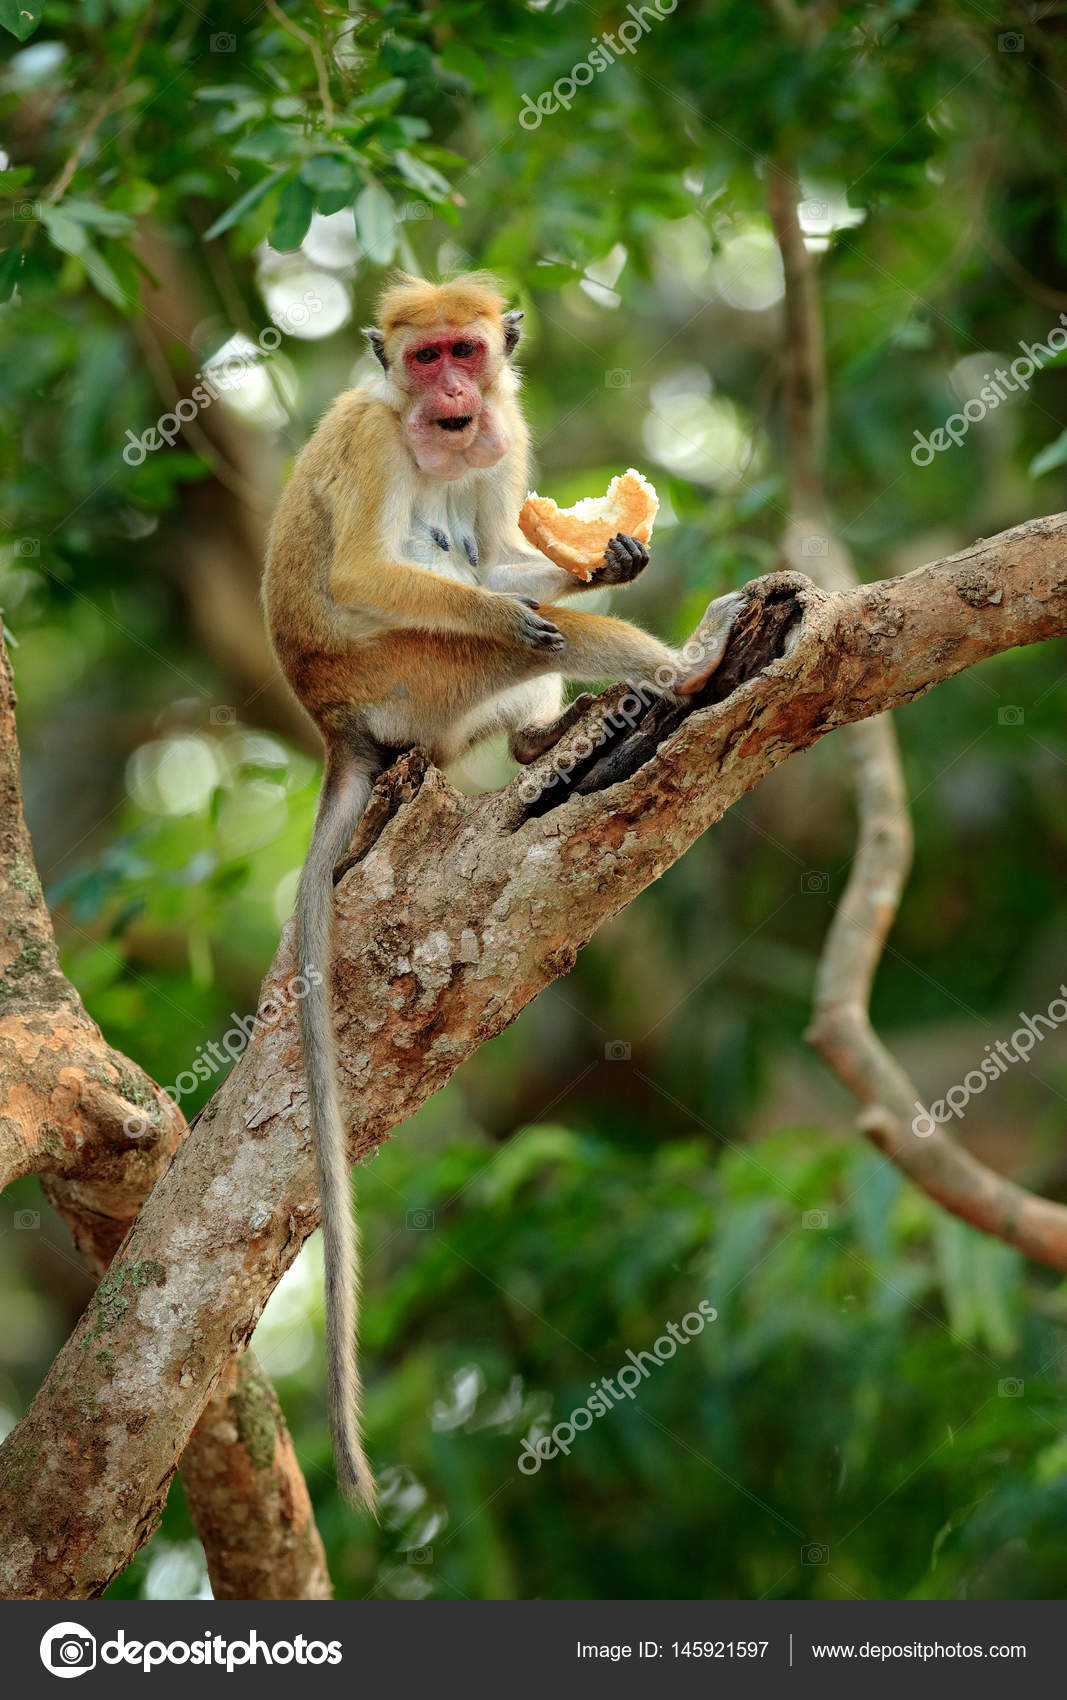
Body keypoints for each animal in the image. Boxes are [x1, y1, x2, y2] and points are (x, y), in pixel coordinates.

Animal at [262, 271, 738, 1510]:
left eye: (465, 352)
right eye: (422, 356)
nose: (450, 398)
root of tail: (336, 722)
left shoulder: (504, 440)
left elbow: (497, 538)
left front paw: (608, 546)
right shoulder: (373, 438)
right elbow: (383, 572)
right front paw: (543, 602)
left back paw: (551, 734)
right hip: (412, 676)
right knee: (511, 630)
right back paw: (679, 669)